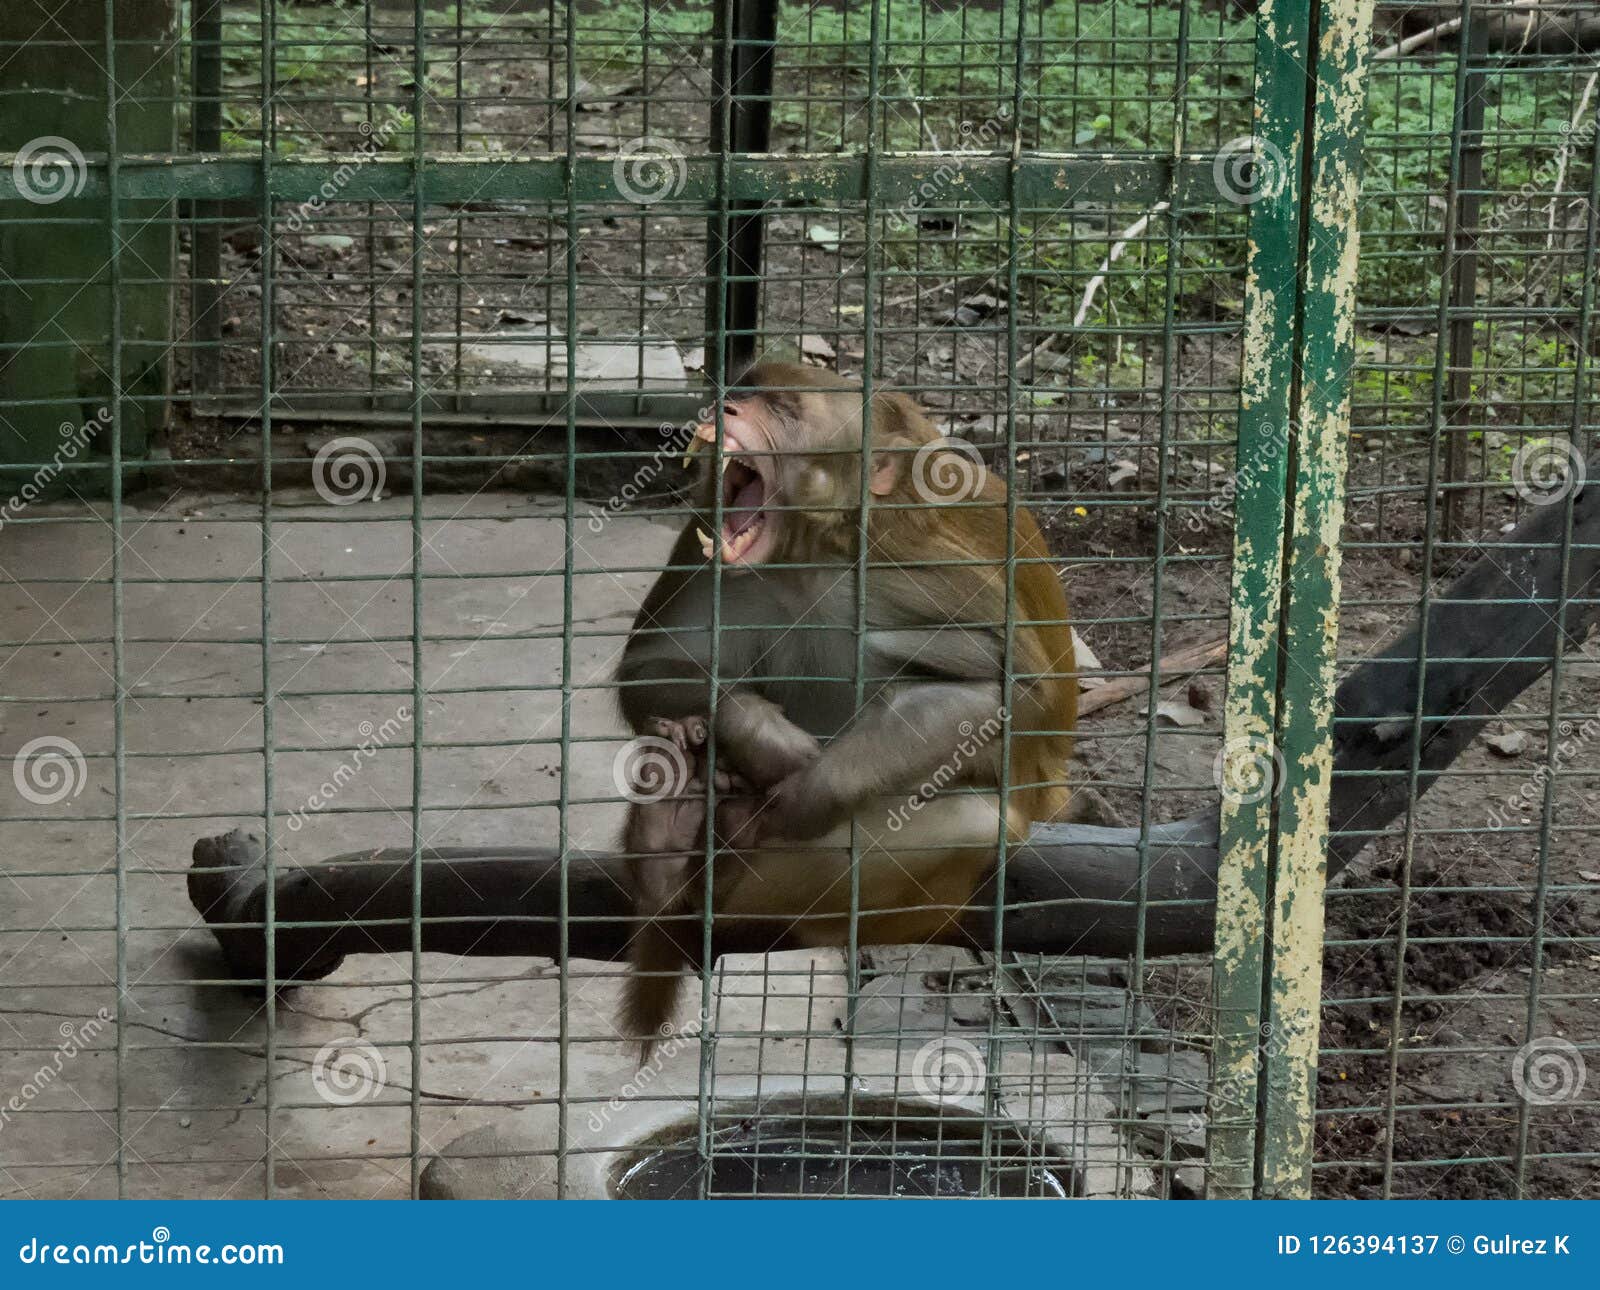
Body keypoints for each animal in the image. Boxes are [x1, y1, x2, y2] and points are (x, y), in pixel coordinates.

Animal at [613, 361, 1076, 1048]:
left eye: (783, 408)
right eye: (744, 387)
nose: (726, 407)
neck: (809, 556)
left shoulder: (919, 570)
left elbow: (1013, 693)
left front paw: (811, 789)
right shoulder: (703, 545)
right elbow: (651, 666)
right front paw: (763, 739)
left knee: (972, 819)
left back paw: (713, 865)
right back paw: (666, 856)